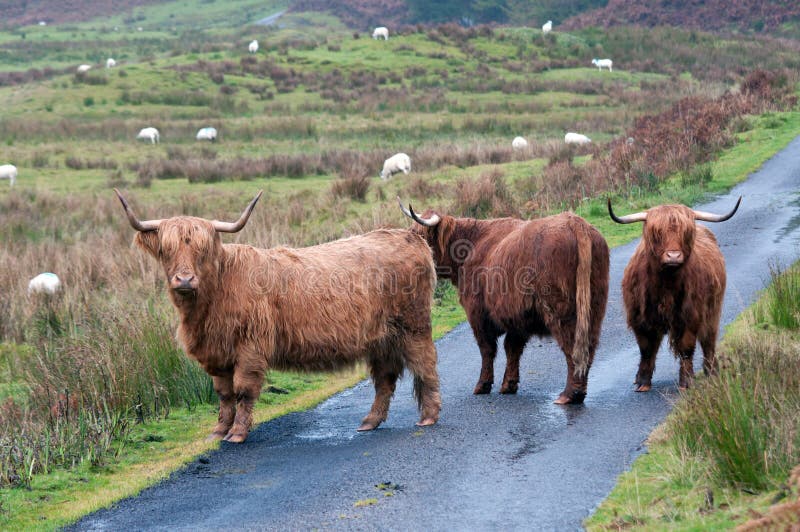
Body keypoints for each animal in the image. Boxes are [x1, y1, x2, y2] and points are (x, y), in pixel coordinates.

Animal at [115, 190, 441, 443]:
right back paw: (370, 421)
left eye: (202, 249)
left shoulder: (250, 348)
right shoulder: (217, 353)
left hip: (414, 325)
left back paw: (428, 416)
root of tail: (407, 235)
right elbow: (223, 394)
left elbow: (243, 391)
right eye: (166, 250)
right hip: (382, 338)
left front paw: (237, 433)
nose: (184, 279)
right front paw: (218, 431)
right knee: (385, 378)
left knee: (425, 365)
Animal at [399, 199, 610, 404]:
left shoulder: (477, 314)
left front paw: (483, 385)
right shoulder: (517, 317)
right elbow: (512, 349)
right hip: (594, 307)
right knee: (588, 347)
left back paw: (569, 395)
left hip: (560, 312)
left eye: (420, 236)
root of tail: (576, 222)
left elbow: (487, 349)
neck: (472, 245)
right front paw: (509, 384)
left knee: (572, 348)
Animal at [608, 197, 741, 390]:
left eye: (686, 233)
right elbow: (646, 349)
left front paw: (686, 381)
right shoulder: (640, 317)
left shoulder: (691, 316)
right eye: (656, 233)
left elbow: (686, 348)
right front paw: (643, 381)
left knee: (709, 341)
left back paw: (711, 371)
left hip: (712, 311)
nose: (673, 256)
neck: (665, 285)